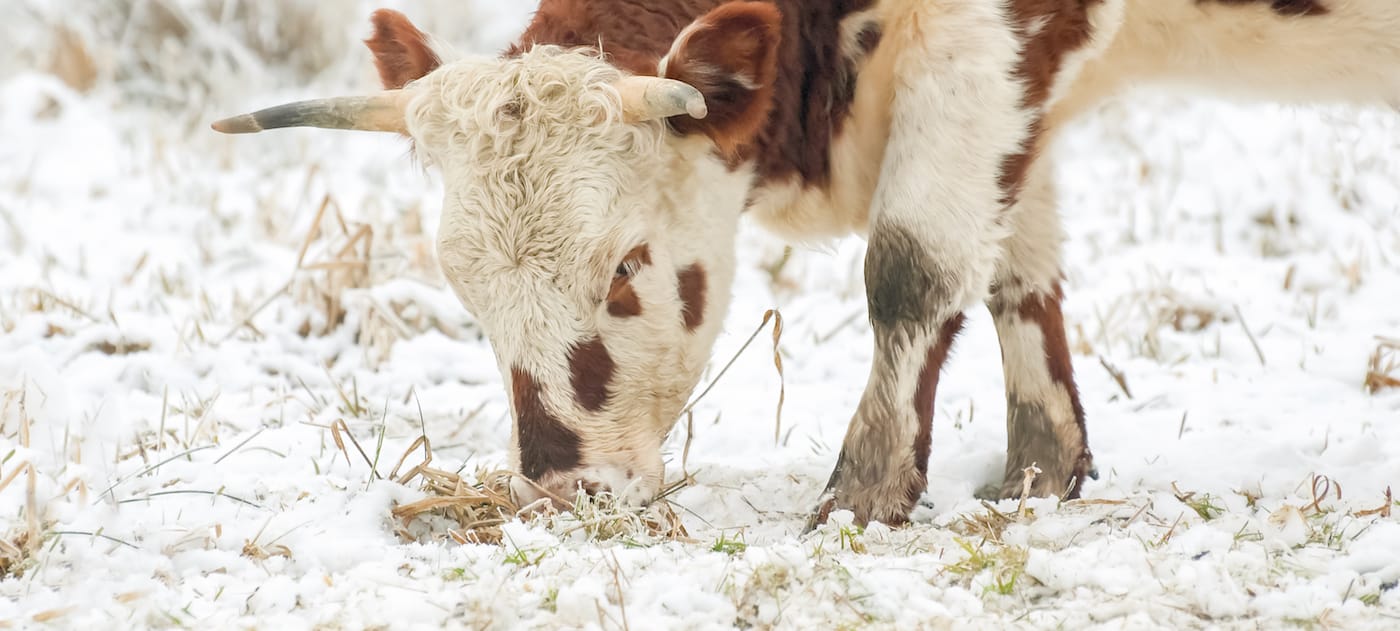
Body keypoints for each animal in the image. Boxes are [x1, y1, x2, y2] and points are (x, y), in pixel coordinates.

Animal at [211, 1, 1400, 527]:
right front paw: (1038, 470)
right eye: (463, 285)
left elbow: (912, 268)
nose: (562, 485)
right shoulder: (1015, 109)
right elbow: (1015, 266)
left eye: (626, 264)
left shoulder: (990, 46)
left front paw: (864, 492)